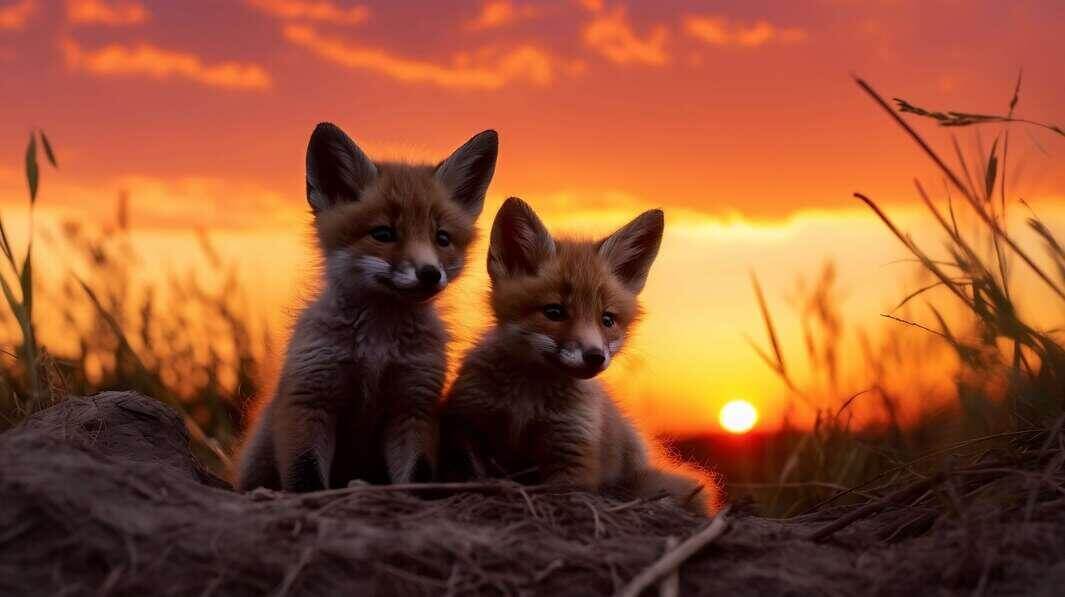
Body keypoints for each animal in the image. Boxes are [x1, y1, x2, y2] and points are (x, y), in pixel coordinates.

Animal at [237, 122, 498, 492]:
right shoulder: (309, 400)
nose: (430, 274)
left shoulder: (414, 407)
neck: (377, 347)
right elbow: (306, 477)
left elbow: (416, 476)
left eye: (442, 239)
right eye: (383, 234)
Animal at [439, 197, 721, 515]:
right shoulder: (467, 428)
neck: (528, 402)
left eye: (607, 320)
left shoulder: (573, 451)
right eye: (554, 312)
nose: (595, 356)